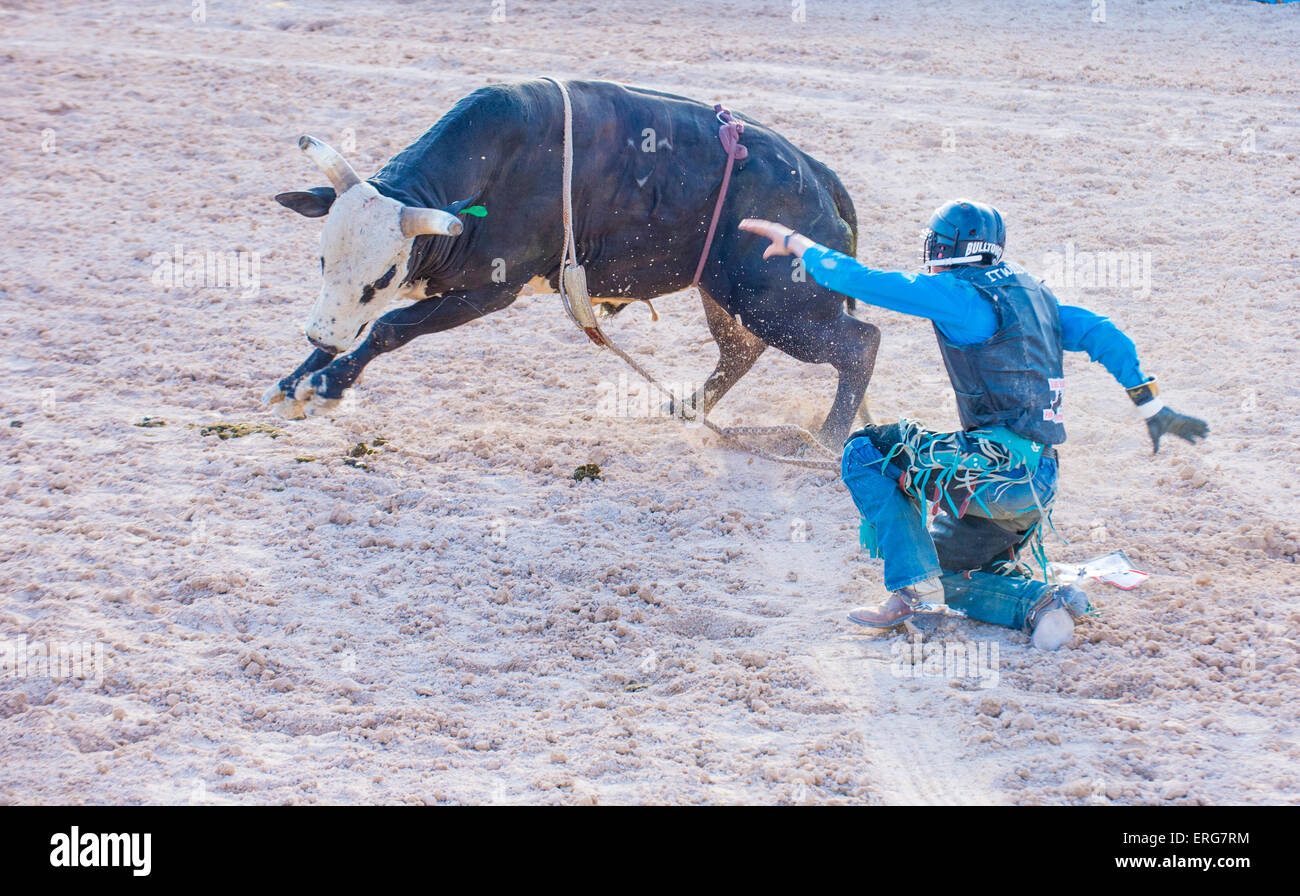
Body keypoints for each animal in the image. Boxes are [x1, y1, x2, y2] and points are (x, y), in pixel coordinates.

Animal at [264, 78, 879, 444]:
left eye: (386, 274)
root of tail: (815, 172)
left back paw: (826, 439)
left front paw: (328, 385)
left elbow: (388, 328)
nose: (320, 335)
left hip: (780, 306)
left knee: (859, 343)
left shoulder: (489, 291)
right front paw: (296, 381)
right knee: (740, 353)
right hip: (729, 299)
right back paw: (684, 411)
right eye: (322, 259)